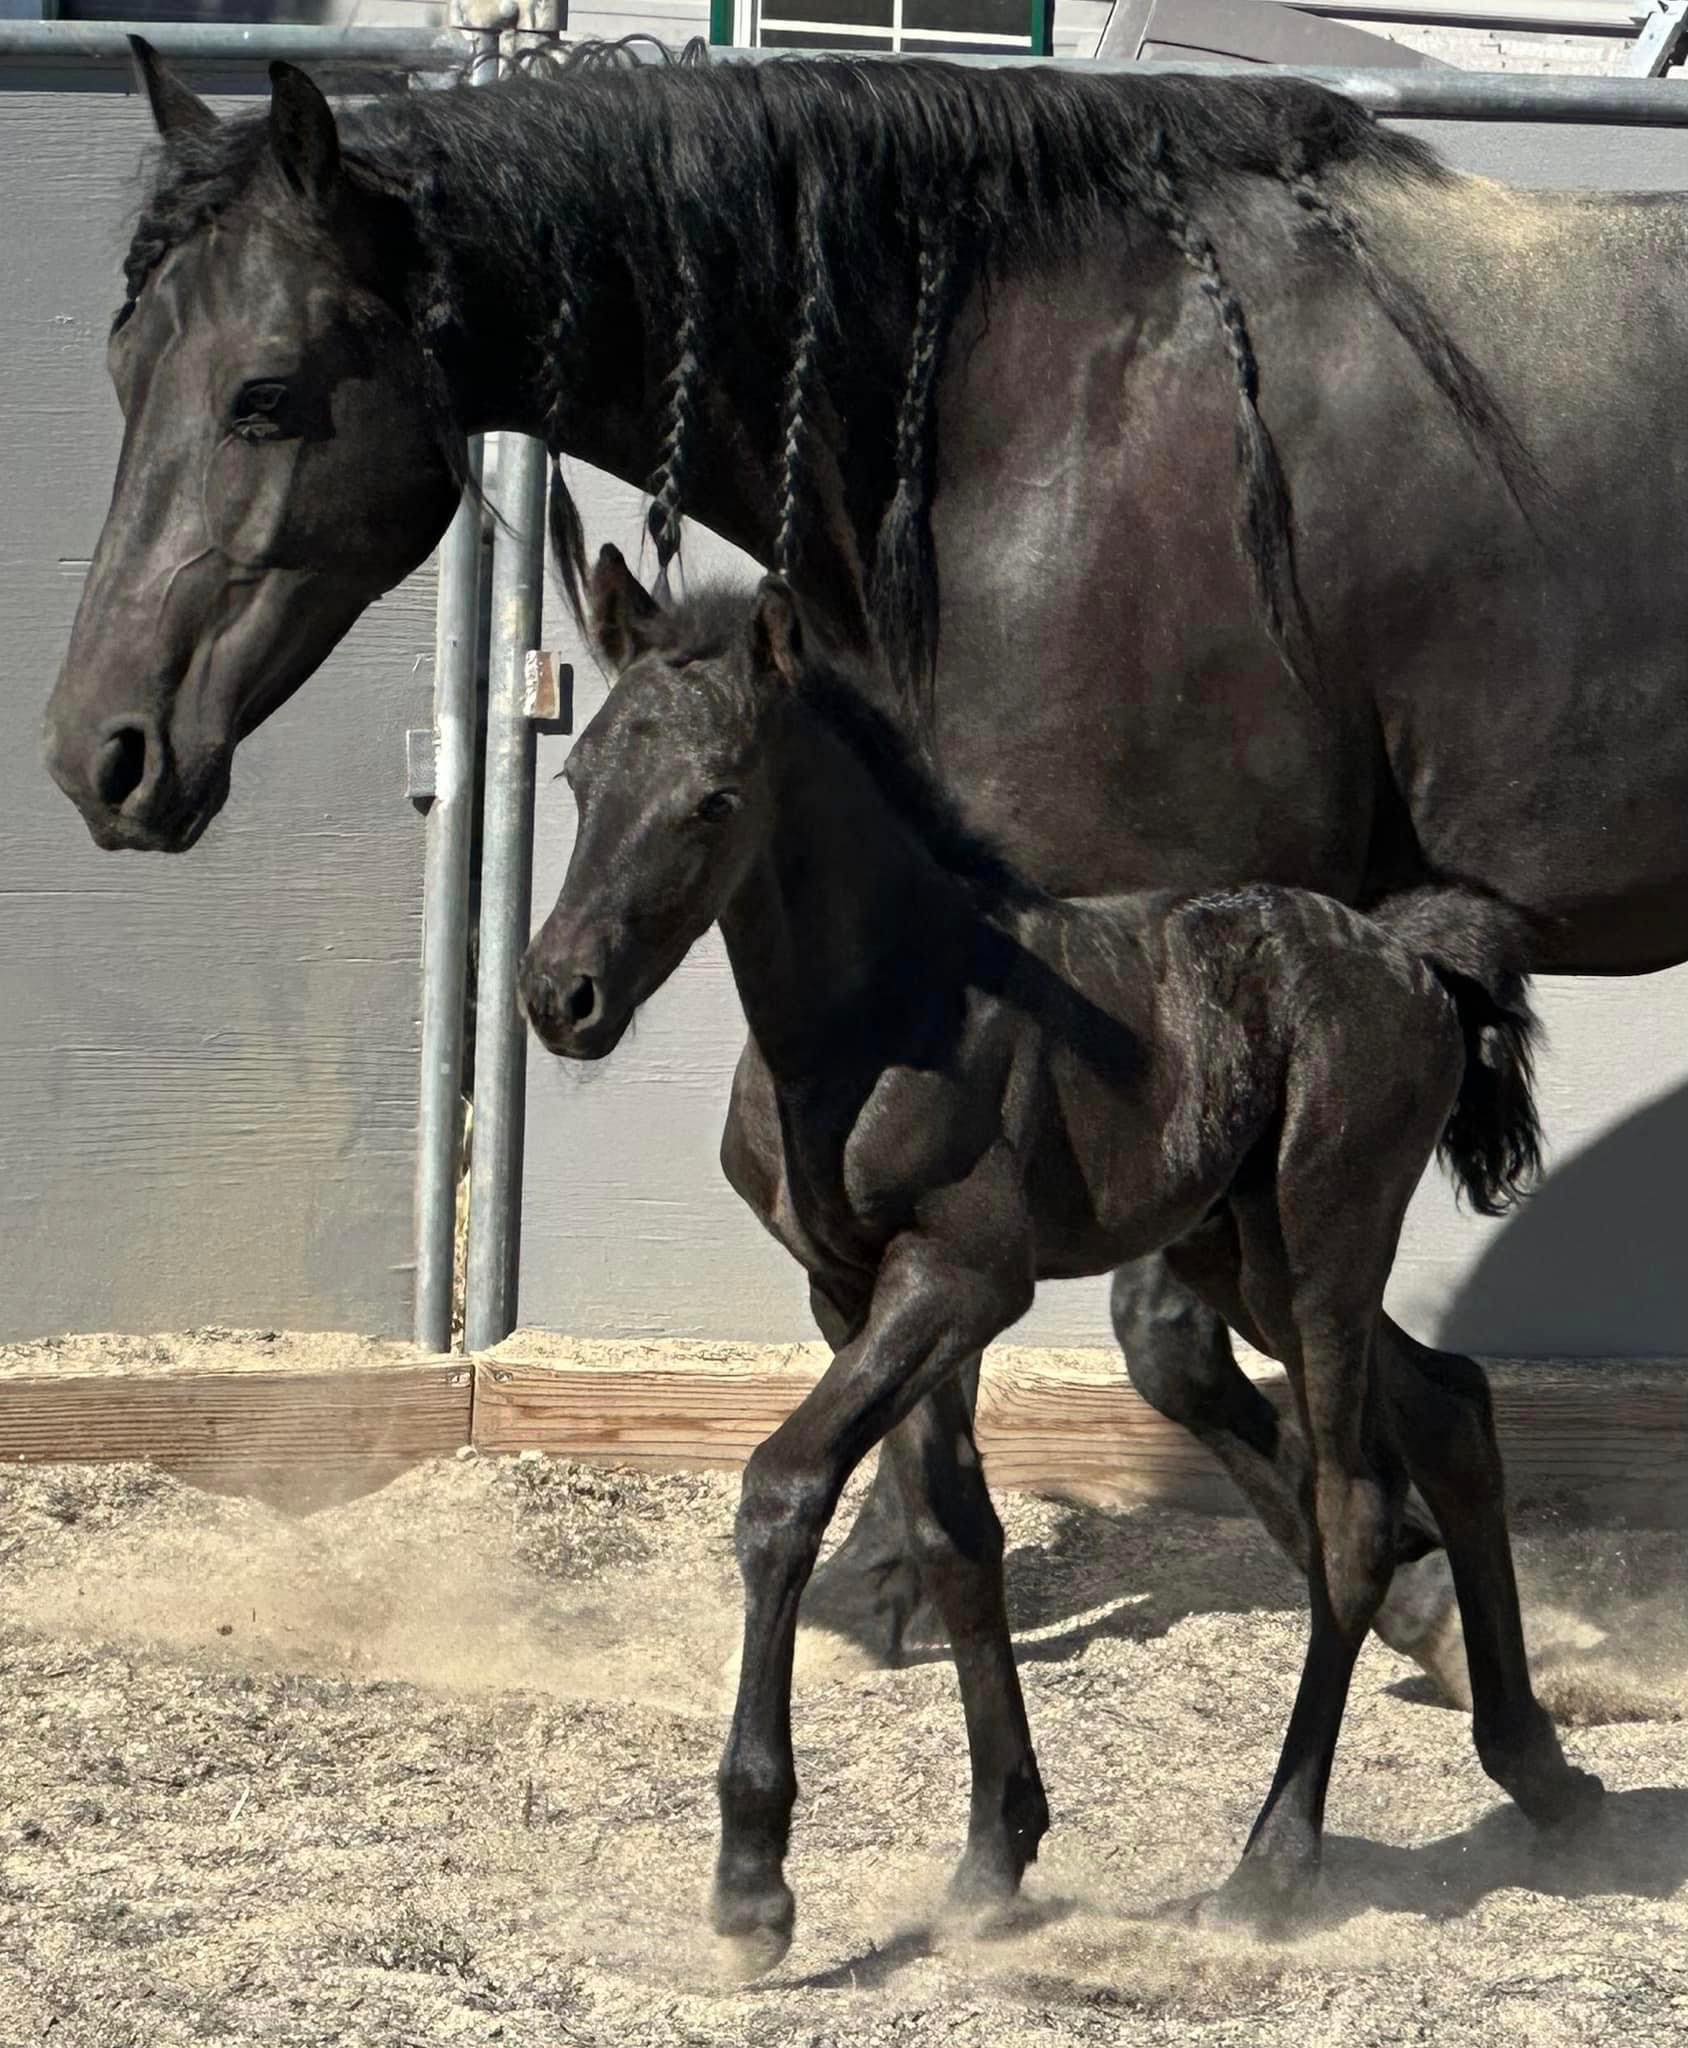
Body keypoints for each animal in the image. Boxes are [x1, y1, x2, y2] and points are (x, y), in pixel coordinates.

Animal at [44, 41, 1688, 1699]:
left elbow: (1165, 1342)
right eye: (123, 375)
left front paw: (1414, 1594)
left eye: (263, 393)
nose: (98, 751)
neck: (1053, 409)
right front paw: (909, 1584)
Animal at [515, 548, 1600, 1972]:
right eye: (579, 777)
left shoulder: (961, 1278)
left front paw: (752, 1884)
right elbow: (952, 1532)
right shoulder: (847, 1291)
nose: (559, 995)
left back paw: (1270, 1868)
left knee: (1355, 1506)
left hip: (1325, 1232)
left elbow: (783, 1485)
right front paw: (993, 1853)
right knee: (1451, 1407)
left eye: (714, 798)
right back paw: (1540, 1770)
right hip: (1233, 1251)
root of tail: (1413, 955)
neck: (882, 1012)